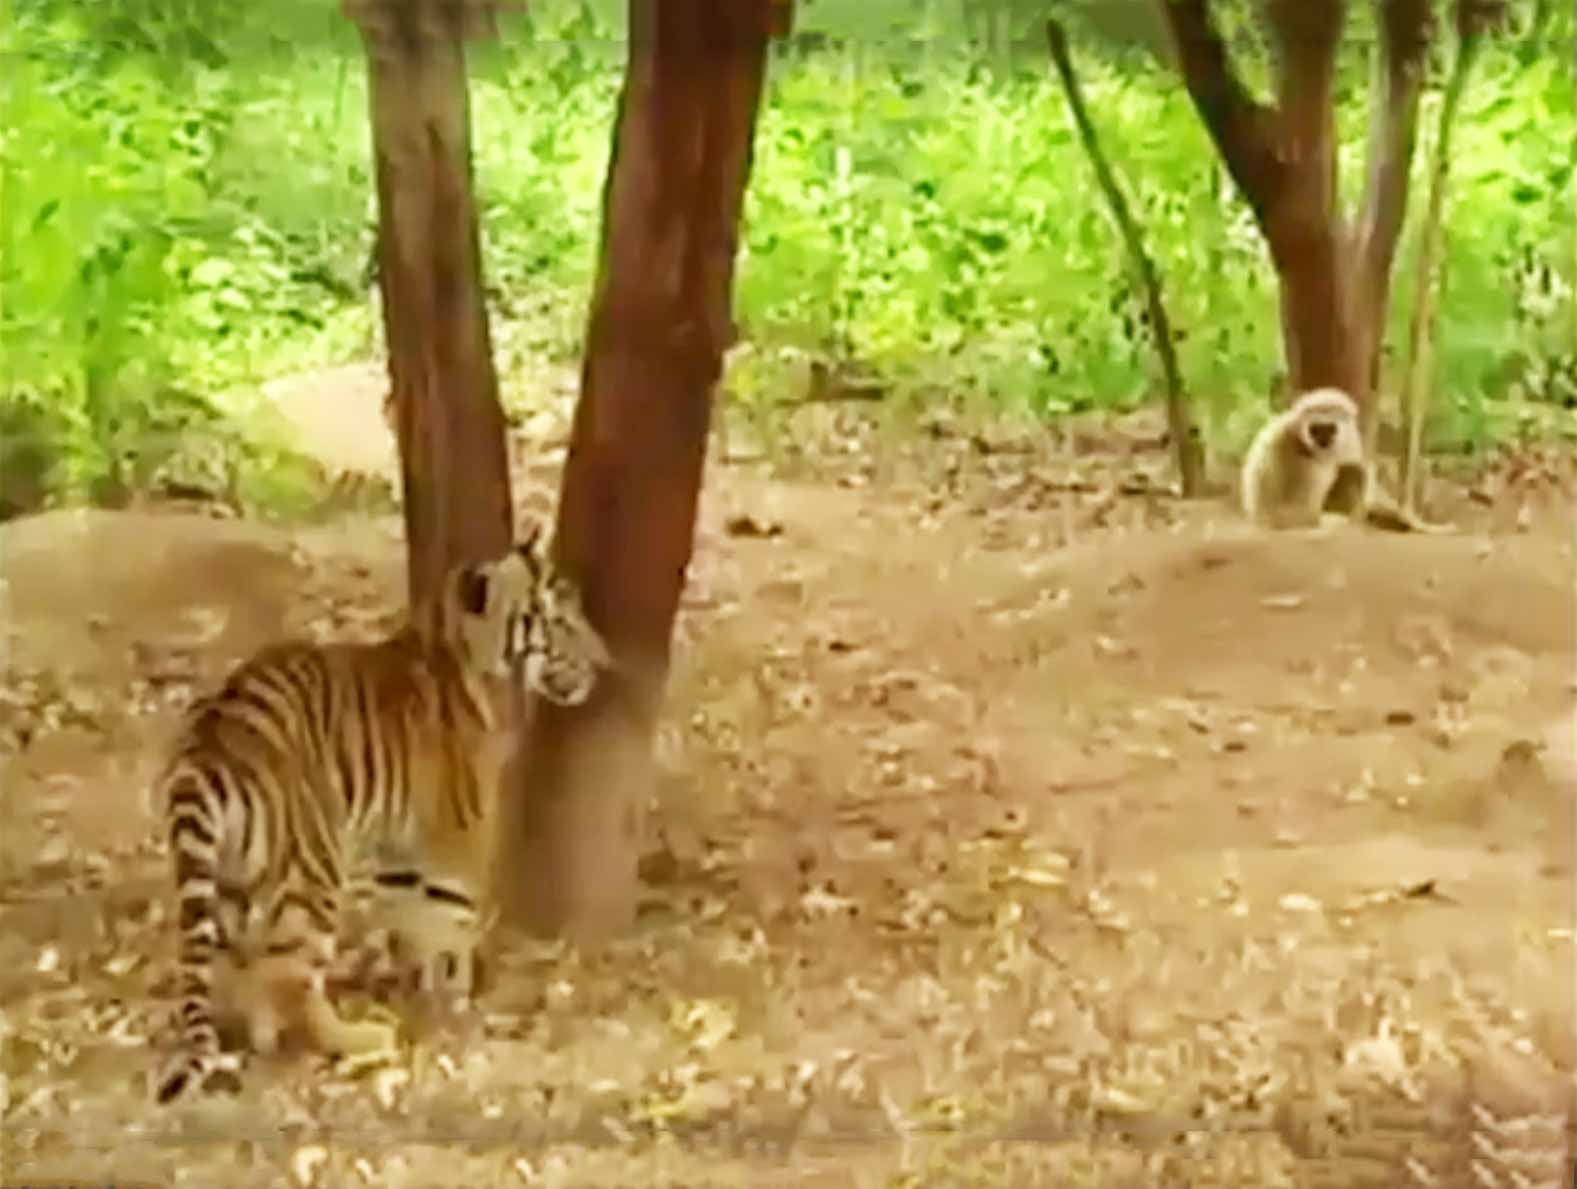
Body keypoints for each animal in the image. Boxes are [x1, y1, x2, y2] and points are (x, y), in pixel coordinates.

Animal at [153, 521, 611, 1104]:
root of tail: (207, 743)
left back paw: (263, 1035)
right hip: (315, 867)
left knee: (249, 967)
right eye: (559, 621)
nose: (604, 663)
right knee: (294, 975)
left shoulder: (401, 845)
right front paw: (455, 999)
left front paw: (419, 987)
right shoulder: (460, 834)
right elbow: (452, 919)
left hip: (235, 879)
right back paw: (357, 1037)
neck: (461, 643)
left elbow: (410, 915)